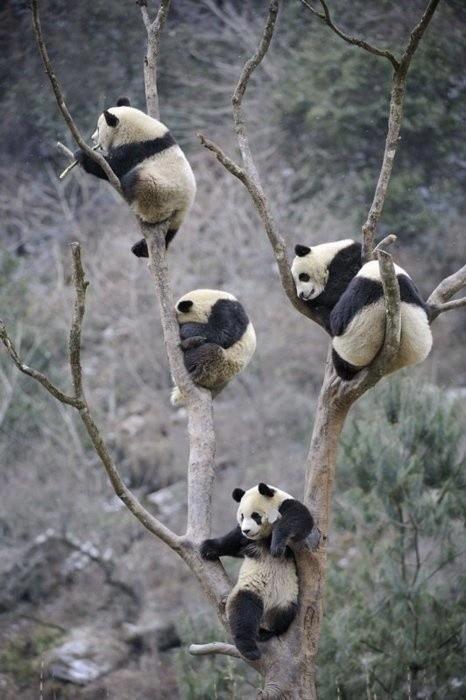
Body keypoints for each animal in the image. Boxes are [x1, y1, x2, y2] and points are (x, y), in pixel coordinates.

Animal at [74, 97, 196, 258]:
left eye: (99, 128)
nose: (93, 139)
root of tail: (183, 206)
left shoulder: (135, 149)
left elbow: (113, 167)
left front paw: (82, 155)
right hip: (175, 215)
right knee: (170, 234)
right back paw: (141, 249)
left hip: (161, 192)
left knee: (136, 181)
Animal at [201, 483, 314, 661]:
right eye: (241, 516)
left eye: (255, 516)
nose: (247, 530)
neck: (264, 535)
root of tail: (266, 611)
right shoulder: (245, 539)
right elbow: (232, 541)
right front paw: (207, 548)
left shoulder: (286, 506)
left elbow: (299, 519)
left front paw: (277, 545)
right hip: (251, 589)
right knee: (244, 611)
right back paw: (251, 645)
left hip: (285, 599)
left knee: (282, 615)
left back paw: (264, 635)